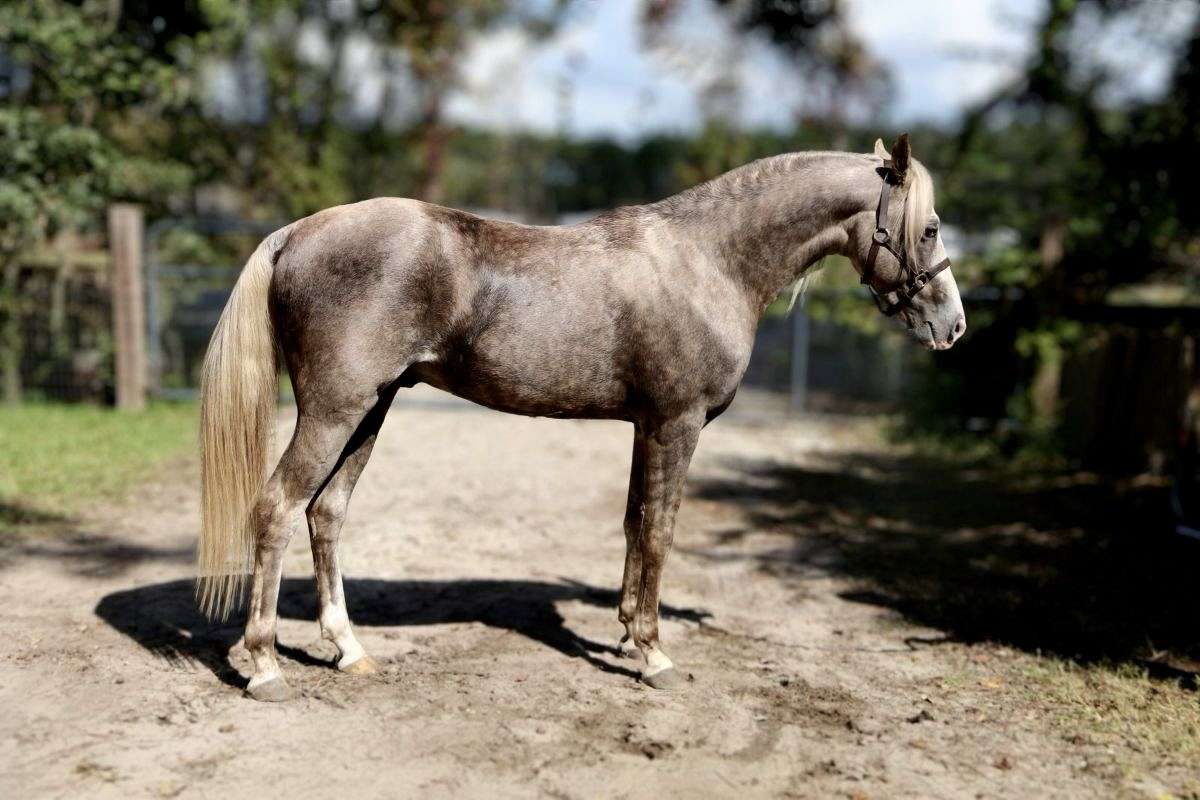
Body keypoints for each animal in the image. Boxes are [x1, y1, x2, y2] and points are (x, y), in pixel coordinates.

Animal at [197, 134, 966, 701]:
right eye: (928, 227)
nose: (954, 326)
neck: (710, 261)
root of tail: (297, 232)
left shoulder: (646, 426)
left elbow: (633, 525)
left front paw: (627, 633)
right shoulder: (676, 424)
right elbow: (659, 532)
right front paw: (653, 654)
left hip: (371, 409)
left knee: (326, 514)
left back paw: (349, 650)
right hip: (336, 411)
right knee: (276, 509)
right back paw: (264, 666)